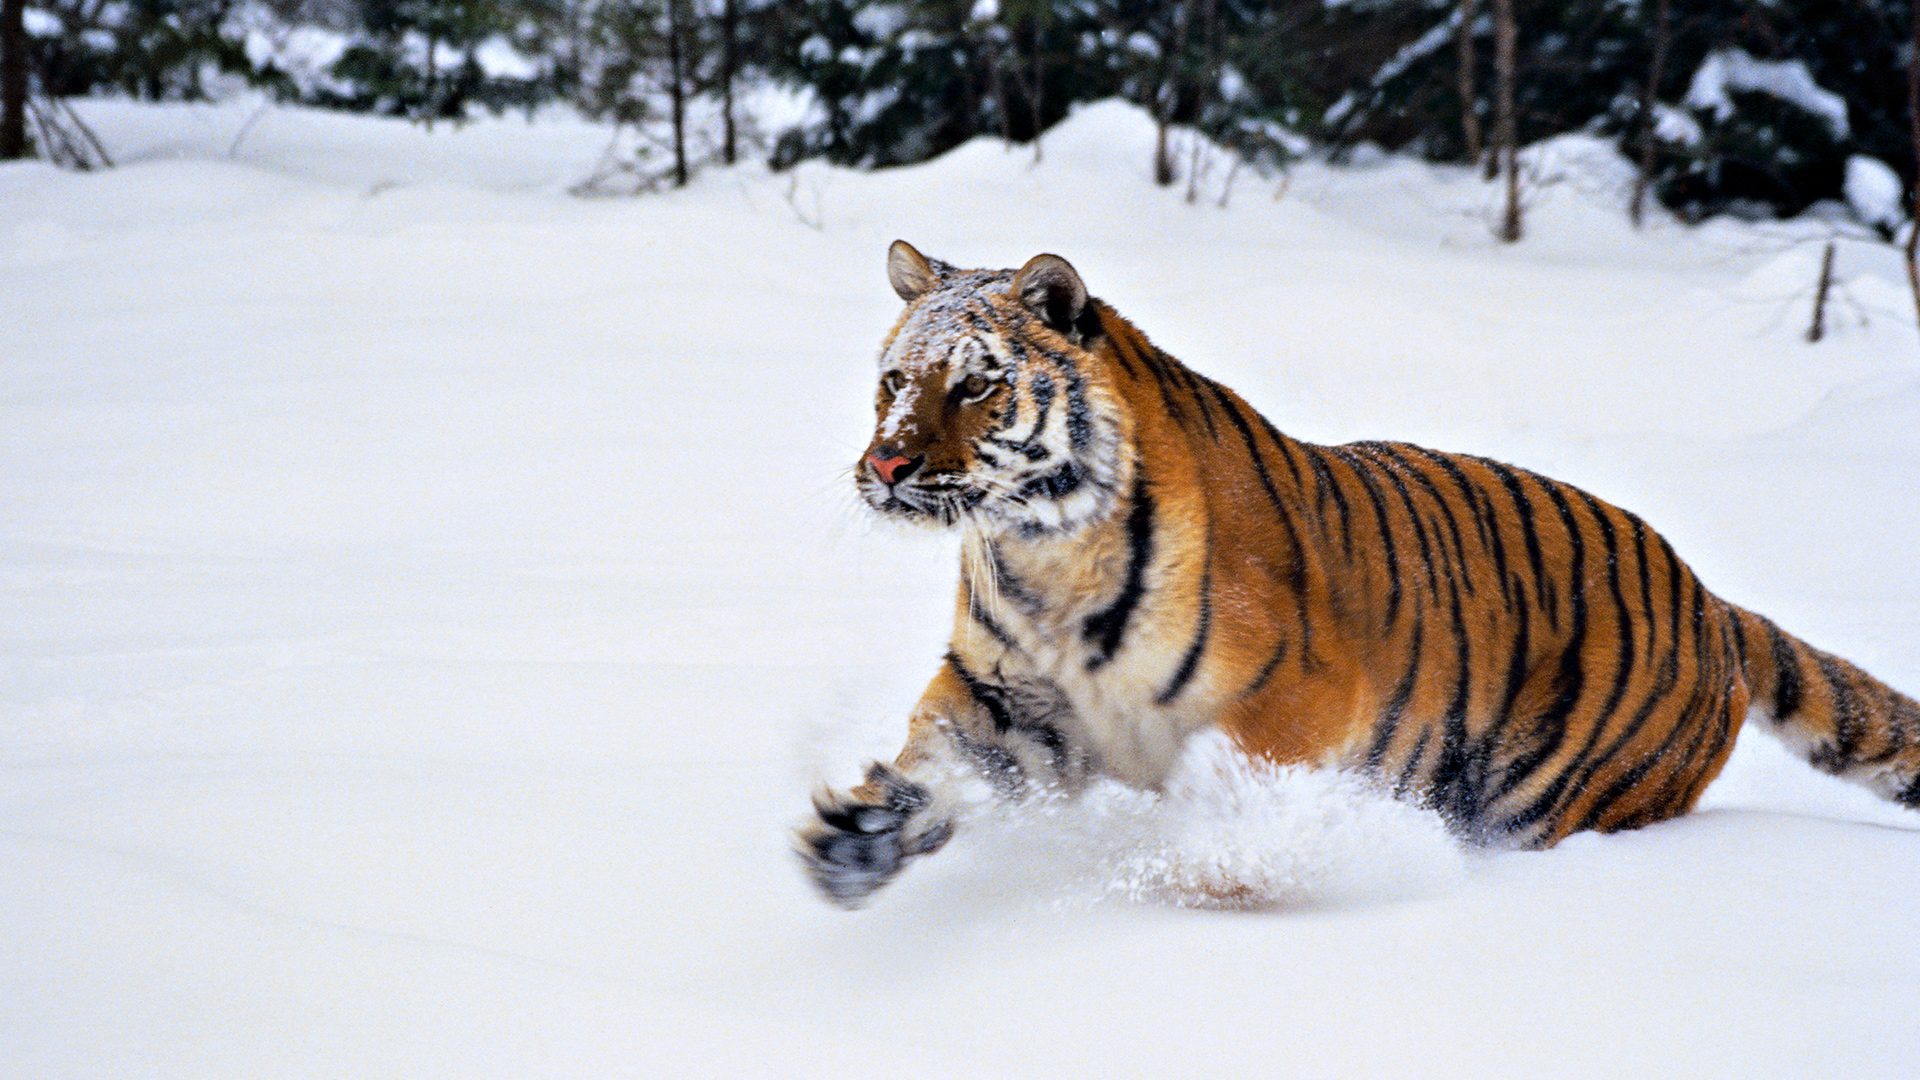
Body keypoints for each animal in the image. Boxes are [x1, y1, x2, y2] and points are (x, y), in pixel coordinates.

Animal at [795, 239, 1920, 908]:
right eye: (896, 381)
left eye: (975, 385)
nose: (885, 465)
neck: (1039, 548)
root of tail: (1714, 604)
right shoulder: (1004, 696)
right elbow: (941, 765)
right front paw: (858, 839)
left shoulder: (1290, 701)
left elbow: (1232, 801)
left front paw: (1199, 879)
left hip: (1556, 796)